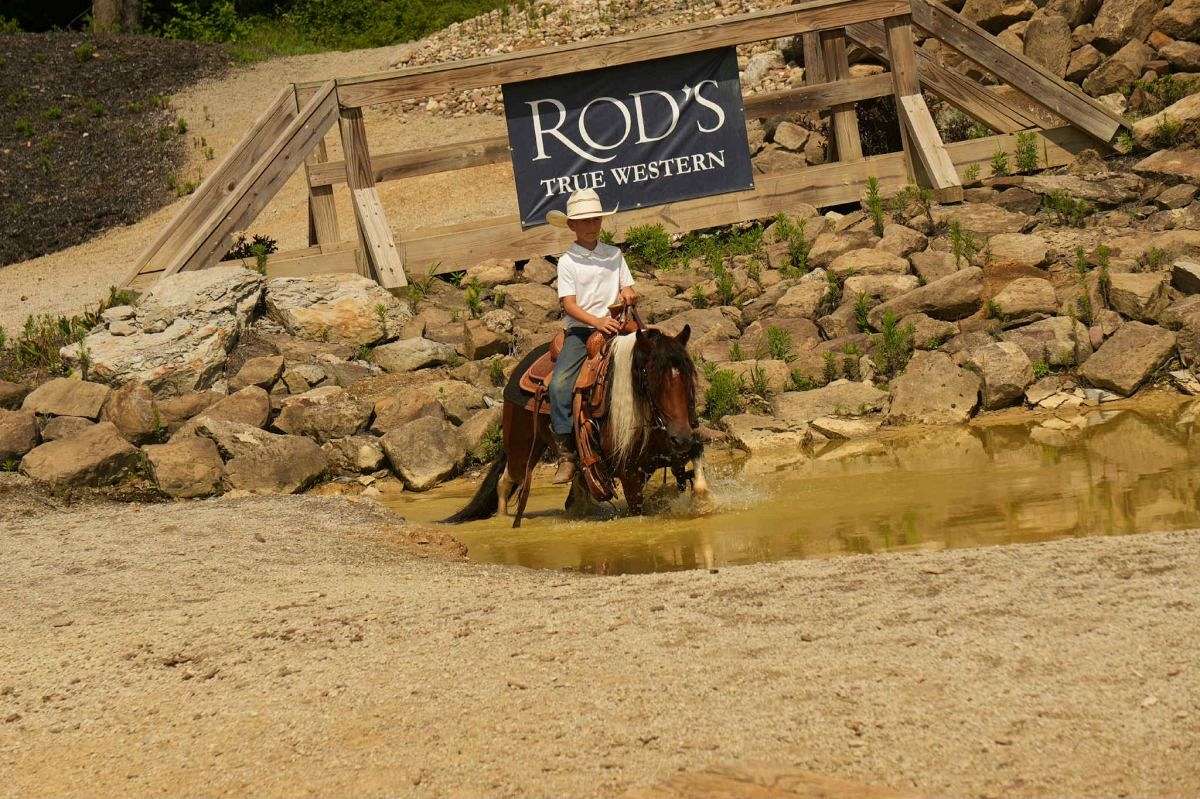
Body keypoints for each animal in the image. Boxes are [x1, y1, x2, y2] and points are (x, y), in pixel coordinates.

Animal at [443, 324, 710, 525]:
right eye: (652, 378)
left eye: (688, 376)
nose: (681, 436)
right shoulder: (629, 473)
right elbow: (637, 507)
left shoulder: (668, 453)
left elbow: (696, 455)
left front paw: (703, 498)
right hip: (521, 445)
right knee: (506, 481)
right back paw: (503, 519)